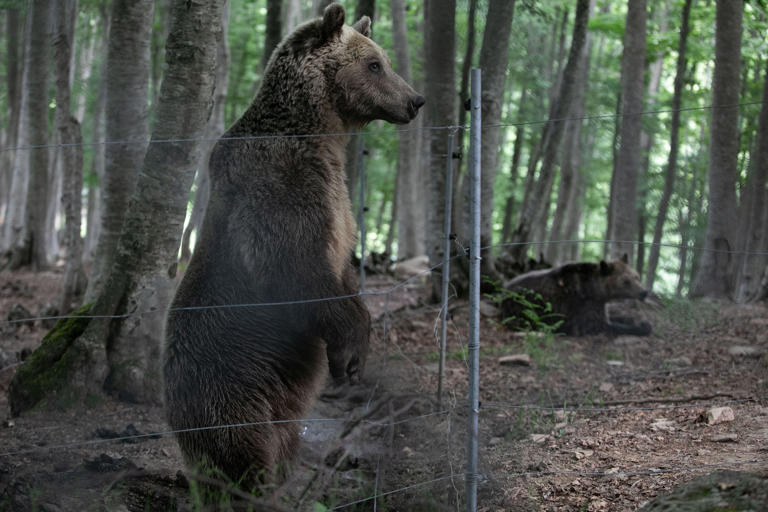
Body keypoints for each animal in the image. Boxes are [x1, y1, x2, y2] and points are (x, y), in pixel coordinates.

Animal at [163, 3, 424, 490]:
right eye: (375, 64)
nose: (416, 100)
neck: (316, 132)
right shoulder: (283, 185)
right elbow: (296, 266)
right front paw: (350, 354)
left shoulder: (336, 198)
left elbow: (341, 268)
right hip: (230, 380)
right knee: (239, 448)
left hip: (281, 394)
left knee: (280, 440)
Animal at [499, 255, 652, 336]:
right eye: (626, 281)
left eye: (637, 277)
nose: (643, 292)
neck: (597, 291)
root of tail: (504, 290)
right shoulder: (584, 307)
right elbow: (604, 326)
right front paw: (642, 327)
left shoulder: (599, 305)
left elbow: (613, 316)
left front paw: (636, 319)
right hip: (525, 306)